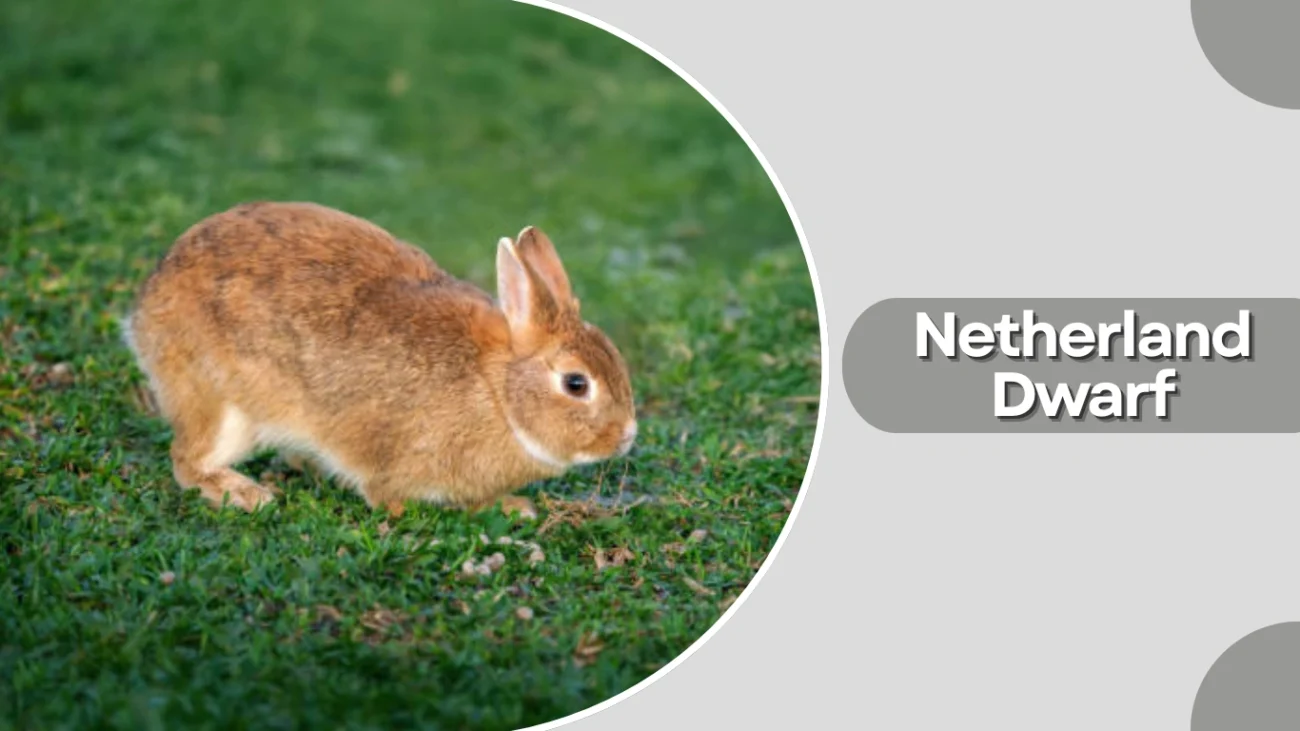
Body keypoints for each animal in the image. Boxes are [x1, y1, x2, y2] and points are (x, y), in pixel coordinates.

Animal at [122, 201, 637, 516]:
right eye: (576, 383)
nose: (627, 438)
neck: (497, 392)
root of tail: (147, 305)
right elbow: (388, 496)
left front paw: (514, 508)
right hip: (221, 408)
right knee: (186, 461)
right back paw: (247, 494)